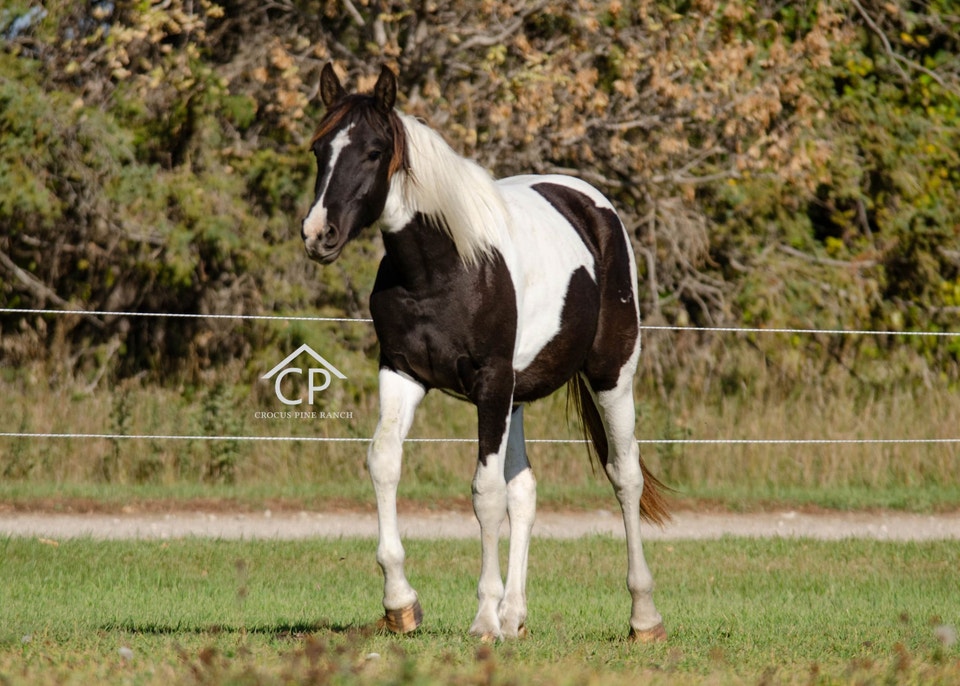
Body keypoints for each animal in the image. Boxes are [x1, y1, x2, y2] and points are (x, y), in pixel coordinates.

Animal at [301, 64, 670, 642]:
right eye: (319, 149)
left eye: (375, 151)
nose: (319, 234)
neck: (443, 269)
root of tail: (593, 204)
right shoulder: (402, 373)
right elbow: (384, 461)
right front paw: (401, 604)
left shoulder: (490, 384)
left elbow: (485, 492)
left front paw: (483, 619)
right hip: (515, 397)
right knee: (526, 490)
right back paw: (515, 615)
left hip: (611, 374)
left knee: (624, 475)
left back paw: (643, 617)